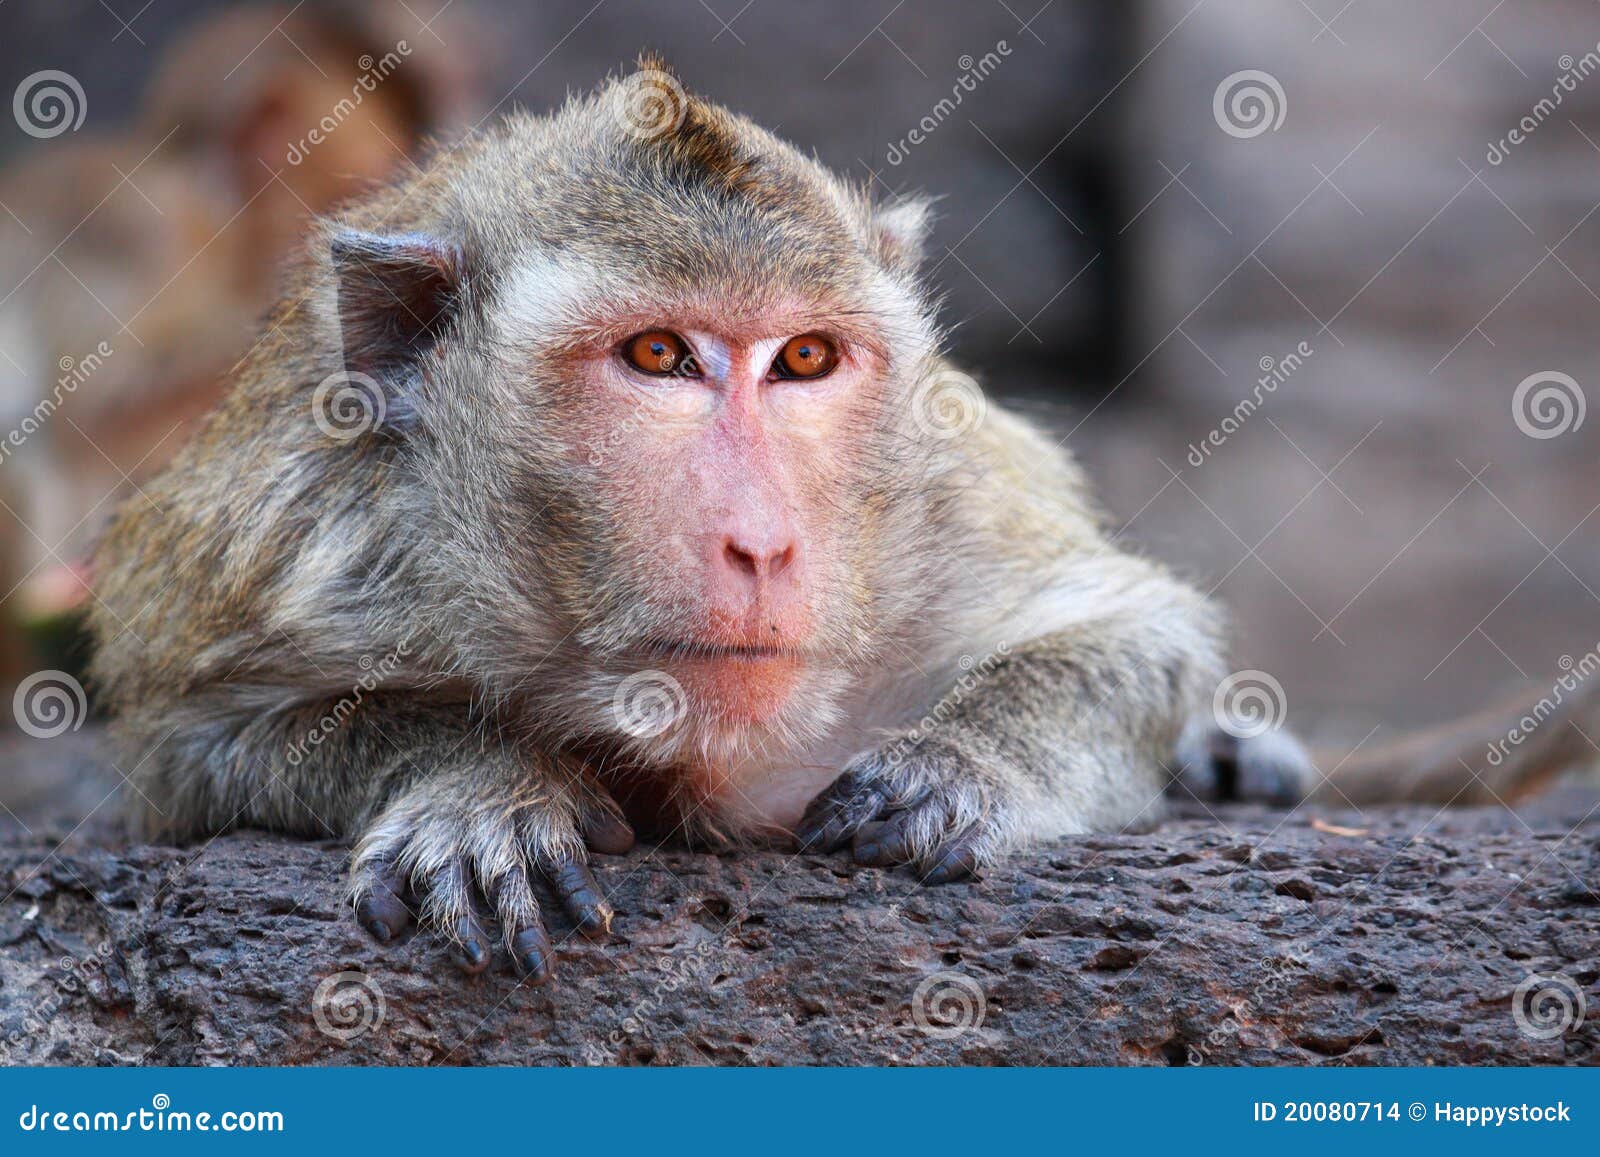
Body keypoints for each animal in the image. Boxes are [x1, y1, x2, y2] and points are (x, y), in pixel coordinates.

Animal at [84, 59, 1598, 985]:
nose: (765, 542)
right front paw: (474, 785)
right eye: (658, 357)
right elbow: (190, 746)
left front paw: (959, 765)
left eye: (805, 359)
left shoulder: (933, 496)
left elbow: (1136, 625)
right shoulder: (297, 550)